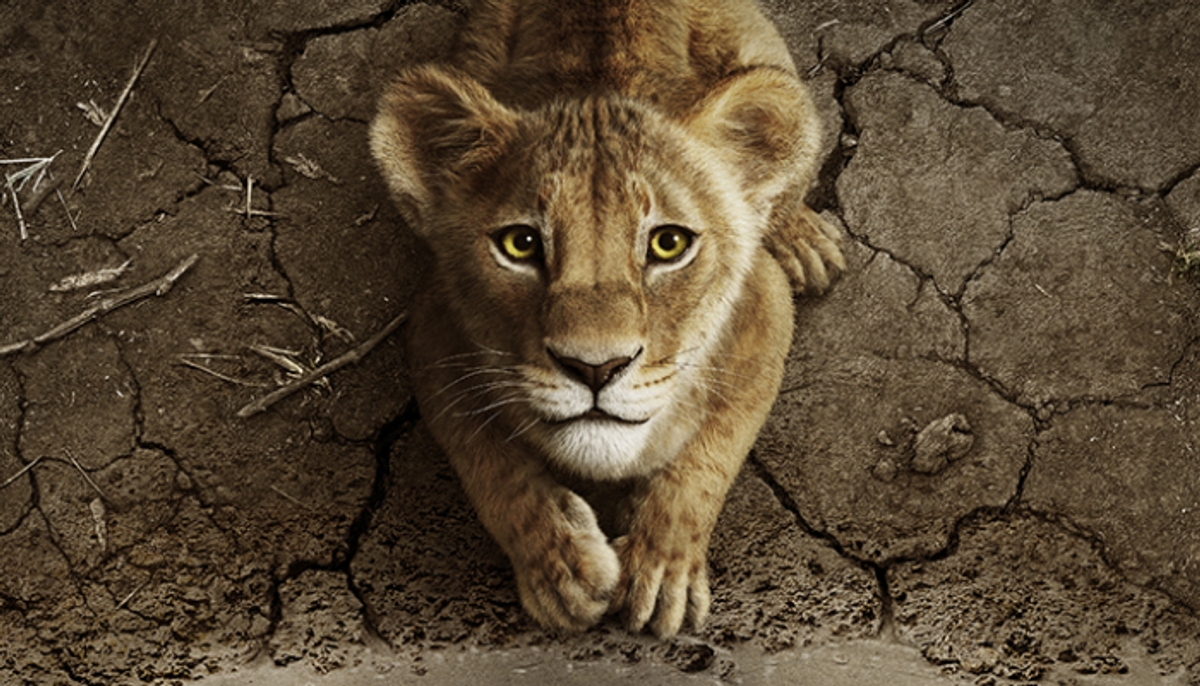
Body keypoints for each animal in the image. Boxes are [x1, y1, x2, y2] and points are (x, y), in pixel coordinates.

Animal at [370, 0, 844, 638]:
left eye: (669, 244)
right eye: (520, 244)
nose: (595, 369)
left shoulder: (764, 308)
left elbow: (709, 456)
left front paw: (662, 569)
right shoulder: (432, 329)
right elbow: (489, 464)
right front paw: (561, 570)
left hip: (765, 58)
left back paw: (803, 241)